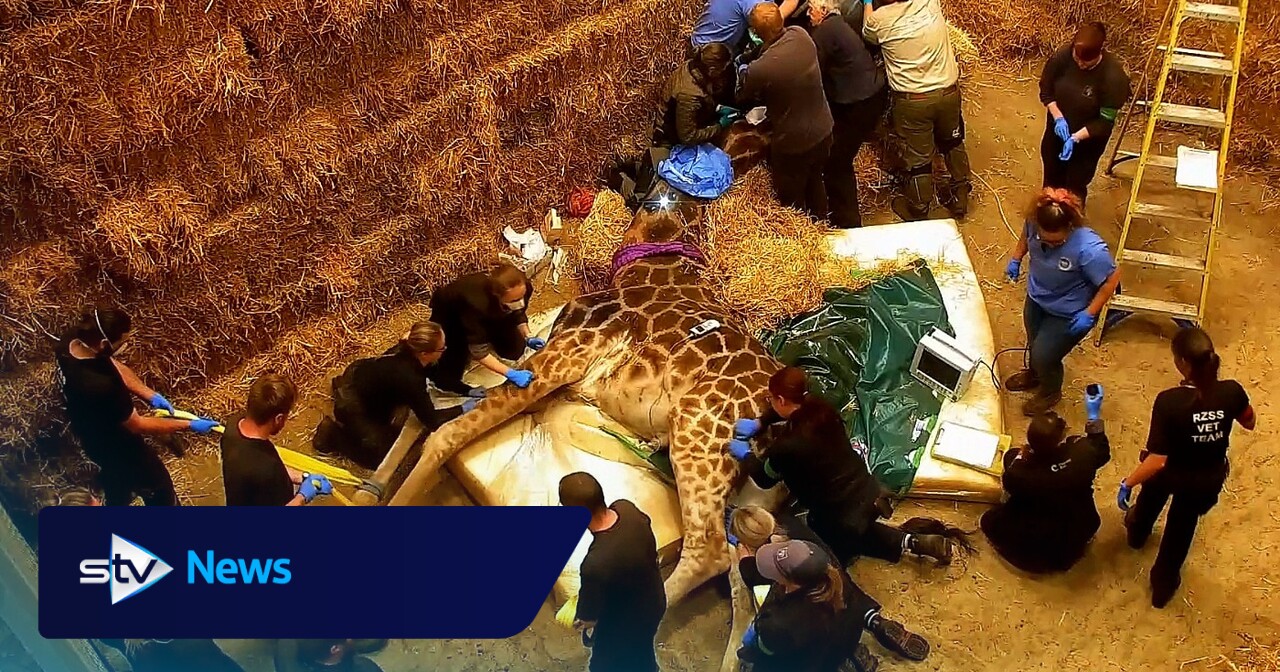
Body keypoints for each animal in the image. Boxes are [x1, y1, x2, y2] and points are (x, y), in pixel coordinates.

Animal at [378, 198, 779, 666]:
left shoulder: (566, 355)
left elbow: (446, 432)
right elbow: (428, 415)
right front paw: (371, 488)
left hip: (698, 430)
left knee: (709, 550)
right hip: (749, 488)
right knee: (738, 565)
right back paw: (734, 657)